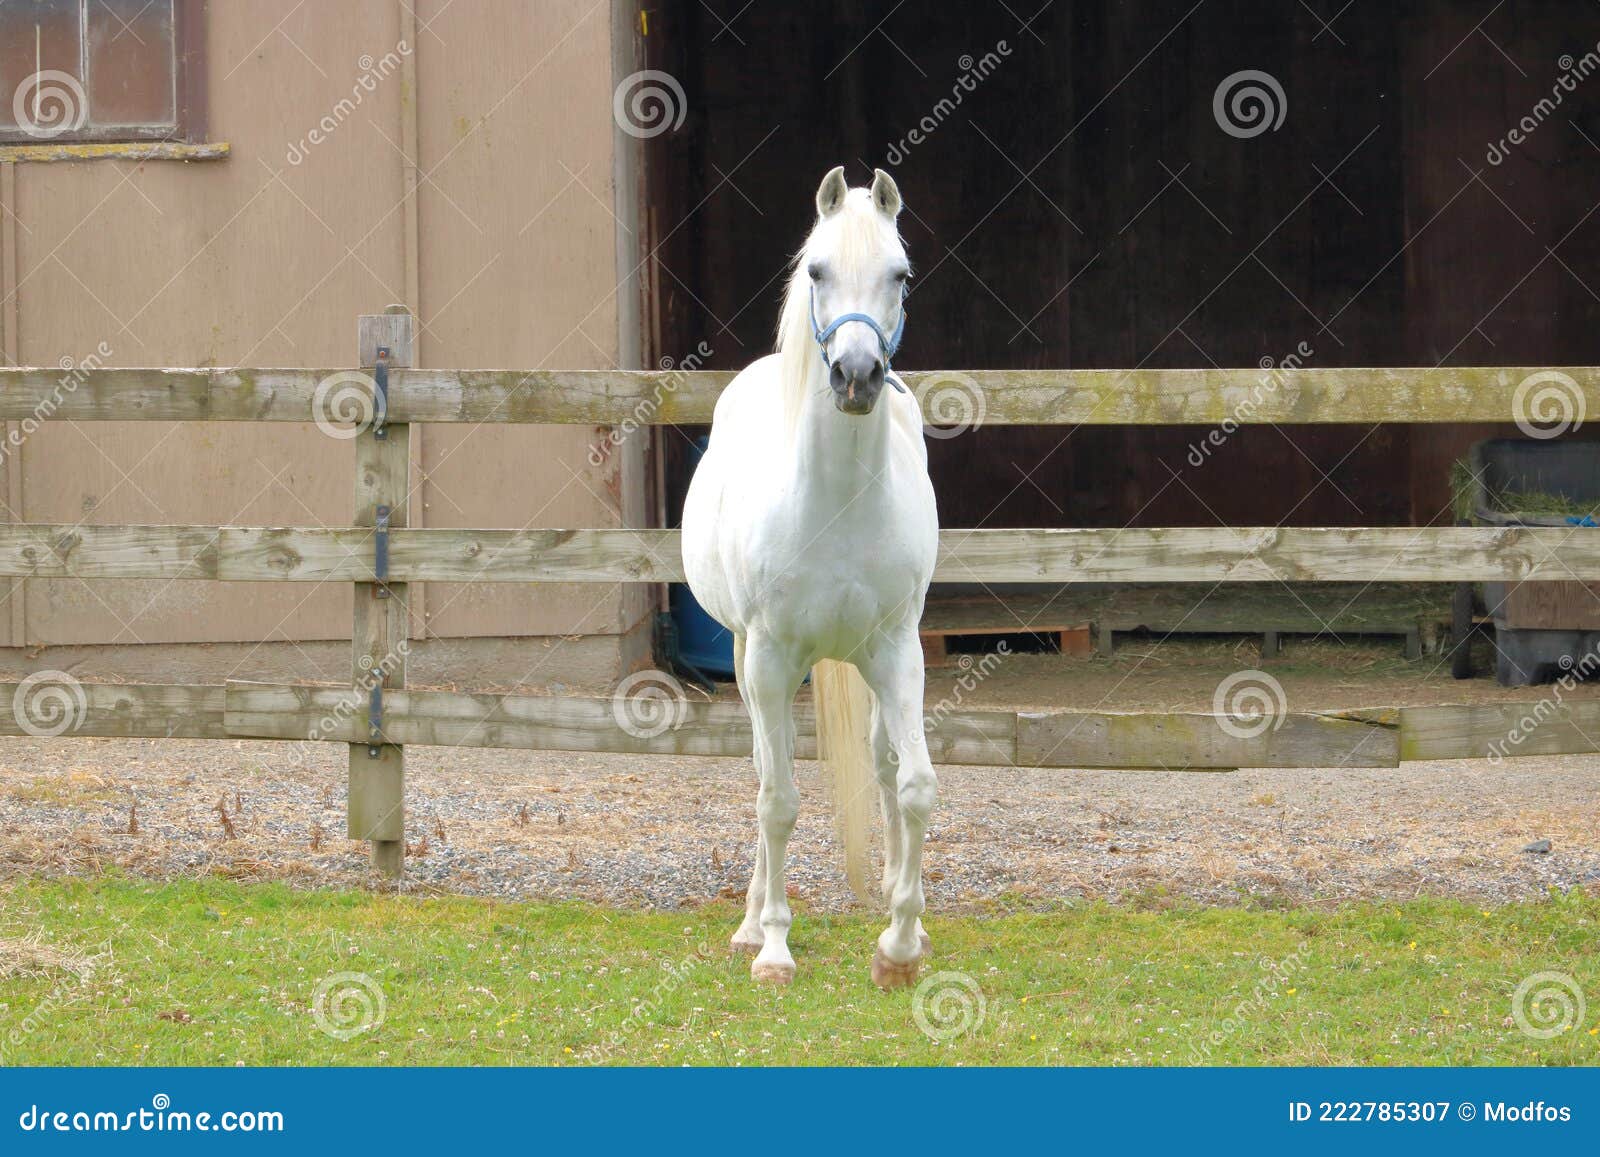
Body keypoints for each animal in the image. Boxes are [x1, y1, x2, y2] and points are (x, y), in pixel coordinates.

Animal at [681, 166, 939, 989]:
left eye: (900, 274)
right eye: (817, 271)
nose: (856, 377)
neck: (835, 499)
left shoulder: (899, 652)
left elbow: (915, 786)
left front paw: (899, 944)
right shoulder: (768, 659)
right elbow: (778, 800)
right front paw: (773, 945)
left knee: (883, 764)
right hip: (746, 659)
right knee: (767, 768)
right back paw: (748, 920)